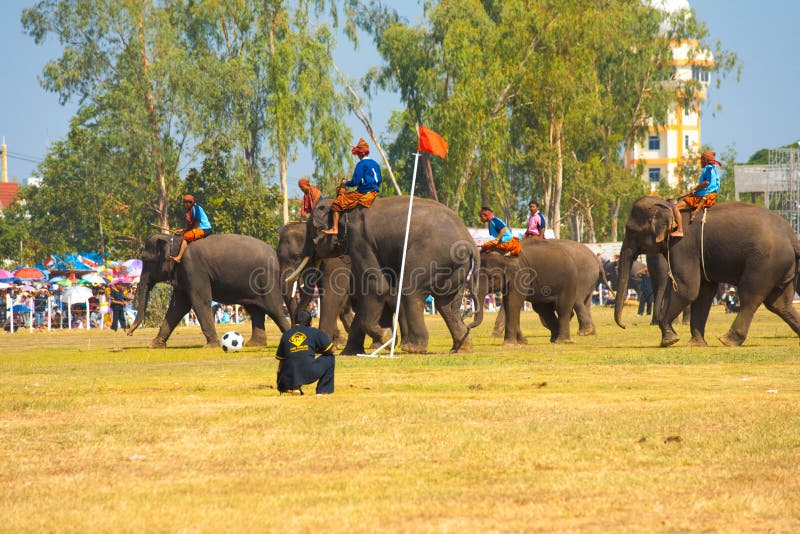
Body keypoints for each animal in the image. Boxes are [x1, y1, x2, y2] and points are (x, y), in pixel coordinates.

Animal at [128, 233, 290, 348]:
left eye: (146, 260)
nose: (128, 332)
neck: (175, 240)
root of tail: (276, 255)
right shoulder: (183, 273)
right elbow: (178, 307)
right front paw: (154, 345)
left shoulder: (193, 269)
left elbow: (199, 302)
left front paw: (211, 346)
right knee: (255, 309)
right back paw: (254, 344)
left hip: (266, 280)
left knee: (273, 309)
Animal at [284, 197, 479, 355]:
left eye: (312, 230)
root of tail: (470, 243)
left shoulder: (360, 241)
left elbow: (377, 287)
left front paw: (385, 337)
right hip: (455, 268)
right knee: (446, 303)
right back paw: (461, 347)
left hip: (431, 255)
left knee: (411, 290)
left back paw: (412, 348)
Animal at [615, 197, 800, 347]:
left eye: (631, 230)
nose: (624, 326)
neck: (669, 208)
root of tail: (792, 237)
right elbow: (703, 292)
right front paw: (695, 344)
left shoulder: (683, 246)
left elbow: (688, 290)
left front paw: (669, 340)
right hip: (781, 267)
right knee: (780, 304)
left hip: (765, 264)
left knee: (750, 297)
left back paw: (727, 340)